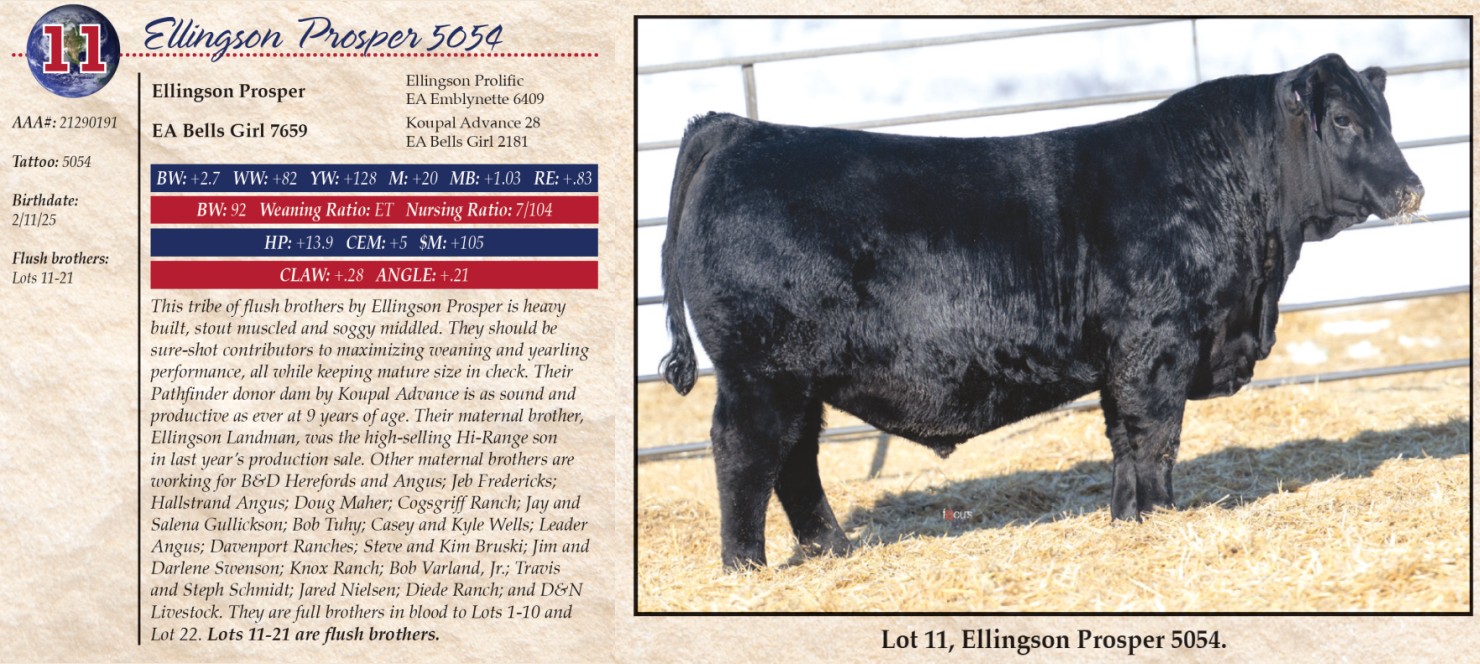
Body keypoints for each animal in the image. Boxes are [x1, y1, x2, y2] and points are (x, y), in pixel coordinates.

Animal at [657, 53, 1424, 570]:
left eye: (1385, 116)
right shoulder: (1157, 347)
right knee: (745, 454)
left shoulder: (1124, 359)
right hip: (762, 372)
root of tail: (738, 130)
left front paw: (1129, 521)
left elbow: (1124, 441)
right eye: (1344, 121)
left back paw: (833, 549)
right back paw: (746, 566)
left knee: (796, 461)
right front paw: (1162, 516)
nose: (1412, 188)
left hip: (797, 377)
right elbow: (1154, 438)